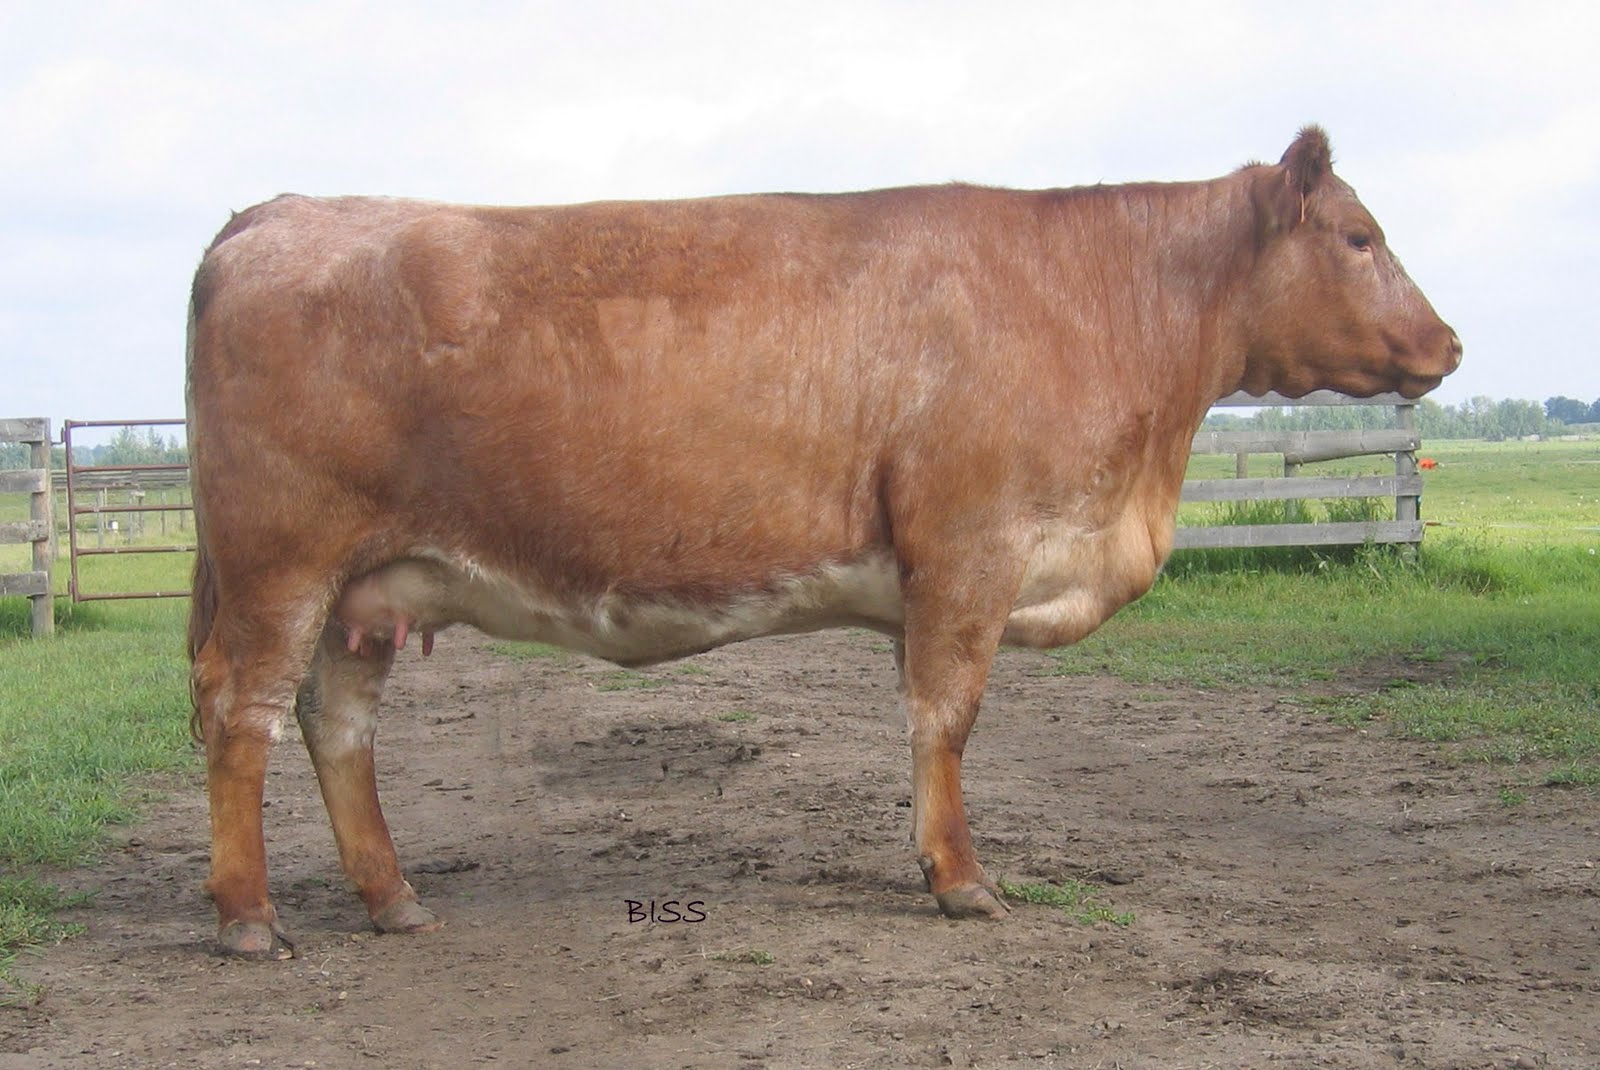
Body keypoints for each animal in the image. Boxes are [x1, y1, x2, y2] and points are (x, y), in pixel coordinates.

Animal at [186, 127, 1460, 957]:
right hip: (278, 565)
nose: (1446, 342)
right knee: (242, 719)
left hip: (365, 589)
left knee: (336, 725)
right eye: (1358, 235)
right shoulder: (969, 548)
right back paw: (250, 918)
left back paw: (391, 896)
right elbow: (945, 716)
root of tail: (278, 211)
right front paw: (959, 878)